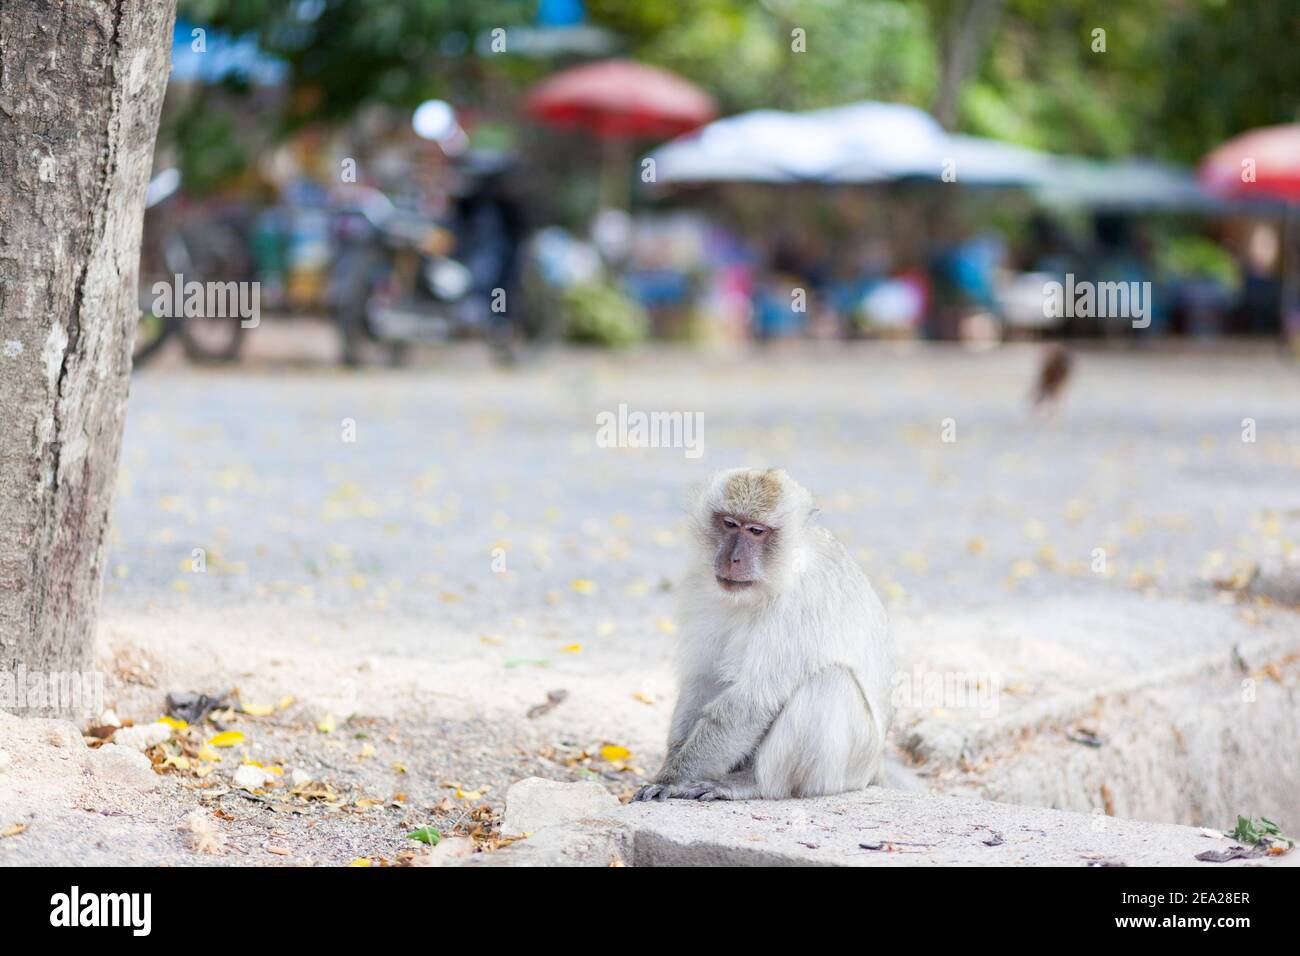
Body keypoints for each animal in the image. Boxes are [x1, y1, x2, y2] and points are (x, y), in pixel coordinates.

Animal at [634, 467, 896, 802]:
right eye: (730, 523)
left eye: (756, 531)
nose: (732, 559)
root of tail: (875, 768)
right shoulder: (699, 587)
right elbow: (703, 678)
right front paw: (669, 764)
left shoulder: (799, 603)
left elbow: (752, 702)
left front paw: (674, 778)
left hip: (848, 768)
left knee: (830, 681)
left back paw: (755, 784)